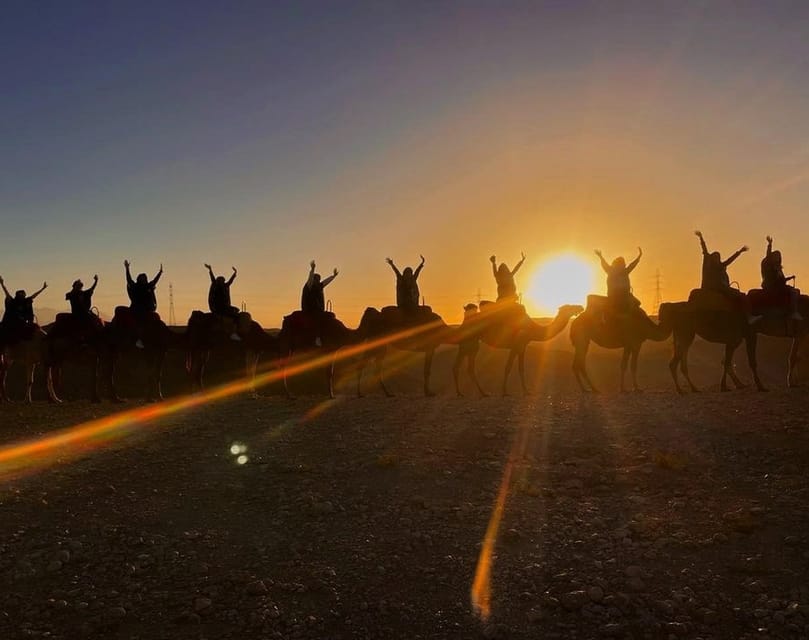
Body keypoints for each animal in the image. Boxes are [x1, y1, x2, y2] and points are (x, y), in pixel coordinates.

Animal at [453, 302, 583, 396]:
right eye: (569, 307)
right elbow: (508, 367)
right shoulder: (516, 345)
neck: (533, 329)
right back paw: (464, 392)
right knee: (460, 366)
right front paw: (504, 391)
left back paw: (476, 392)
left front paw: (526, 391)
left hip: (472, 343)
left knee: (465, 367)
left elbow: (521, 368)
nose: (580, 307)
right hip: (469, 342)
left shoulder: (522, 347)